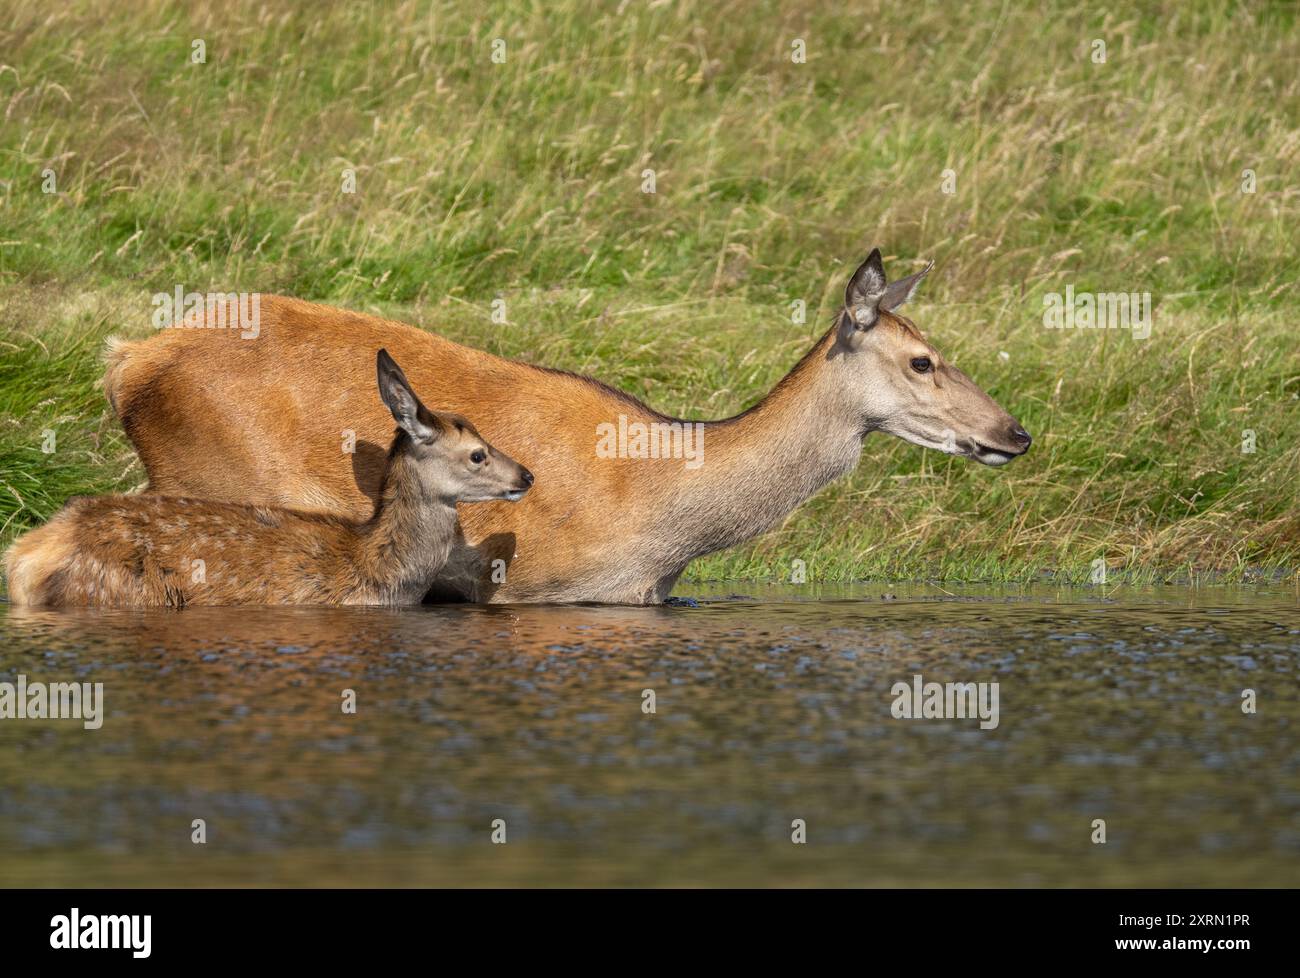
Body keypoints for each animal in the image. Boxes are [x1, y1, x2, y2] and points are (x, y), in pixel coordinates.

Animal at [100, 249, 1031, 606]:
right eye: (923, 361)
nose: (1015, 432)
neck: (668, 515)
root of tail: (126, 362)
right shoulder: (527, 584)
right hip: (209, 489)